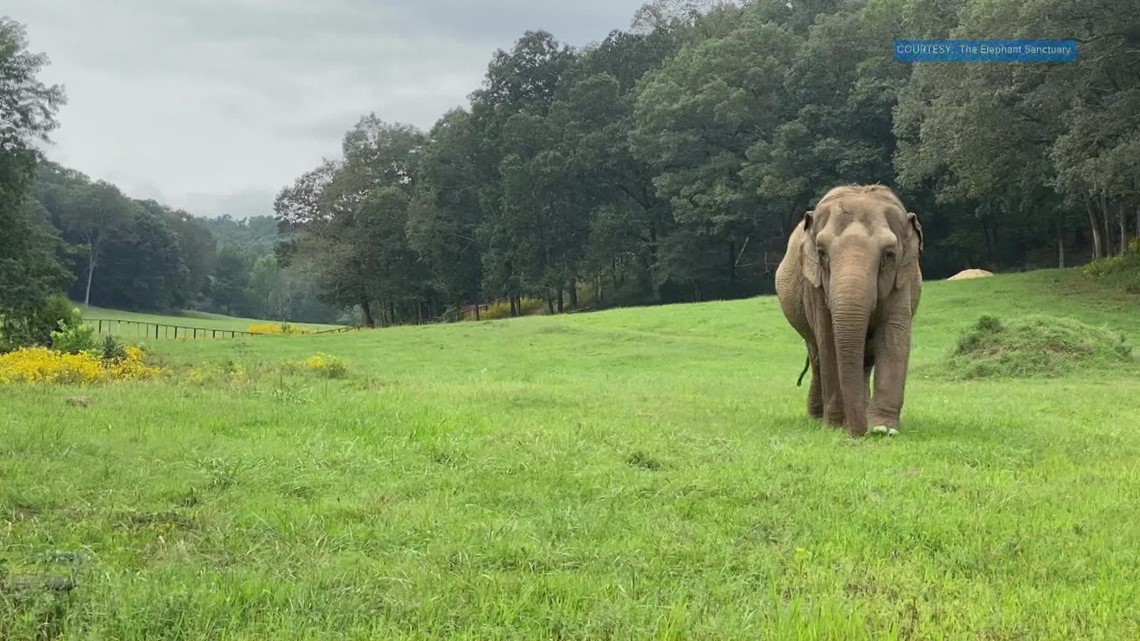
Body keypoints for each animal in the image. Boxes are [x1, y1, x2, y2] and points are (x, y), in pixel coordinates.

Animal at [775, 184, 924, 437]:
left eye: (889, 254)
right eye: (822, 252)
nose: (859, 433)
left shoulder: (902, 280)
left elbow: (893, 336)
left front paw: (884, 429)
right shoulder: (814, 287)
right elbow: (828, 340)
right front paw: (835, 427)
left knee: (865, 359)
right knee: (817, 357)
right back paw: (819, 418)